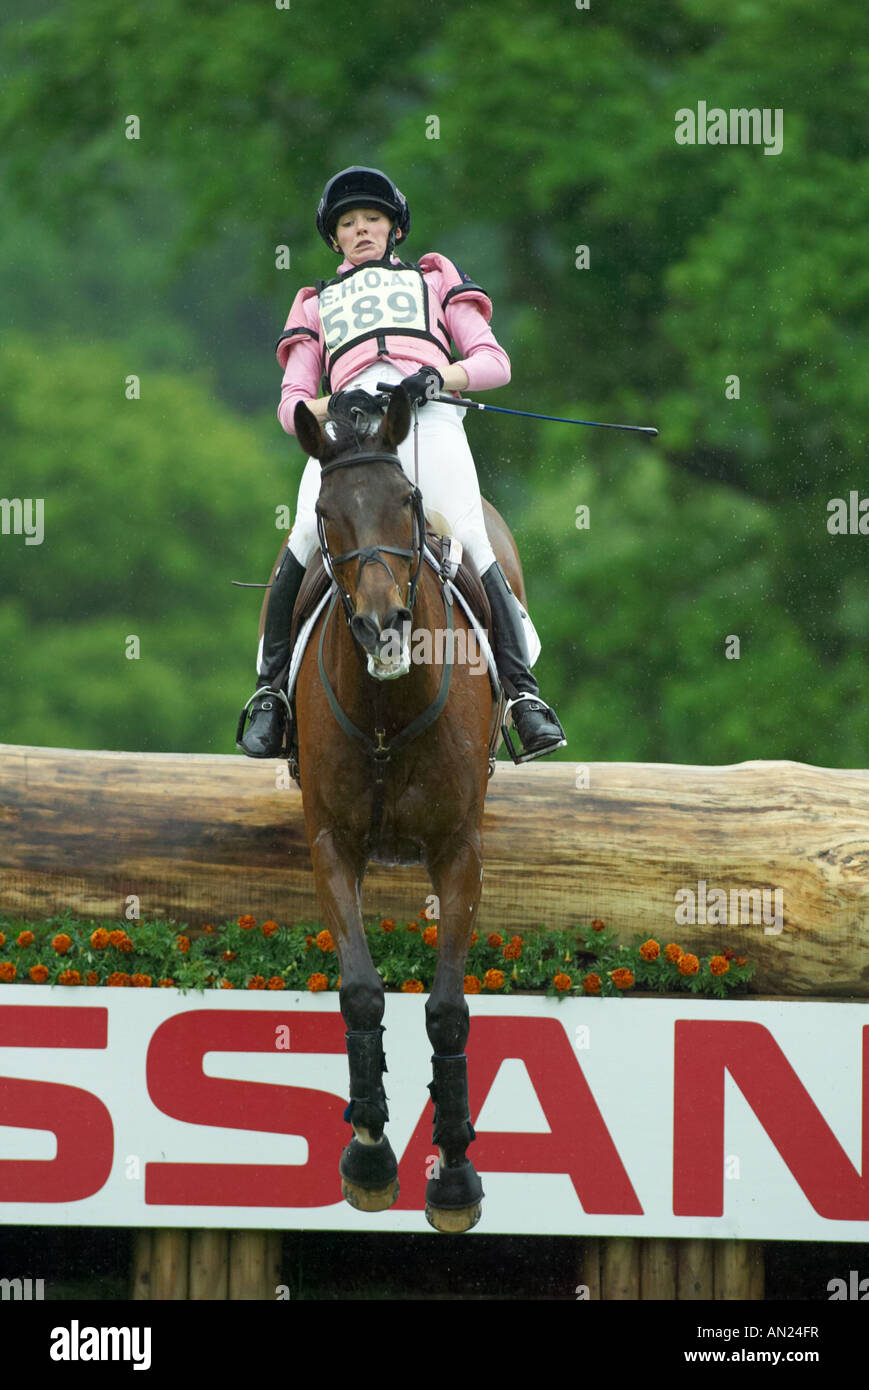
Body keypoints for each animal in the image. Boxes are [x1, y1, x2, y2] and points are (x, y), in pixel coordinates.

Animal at [261, 386, 529, 1232]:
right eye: (326, 515)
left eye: (405, 503)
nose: (384, 627)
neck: (386, 707)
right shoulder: (331, 844)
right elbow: (359, 991)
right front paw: (372, 1156)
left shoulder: (457, 850)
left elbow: (446, 1008)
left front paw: (455, 1175)